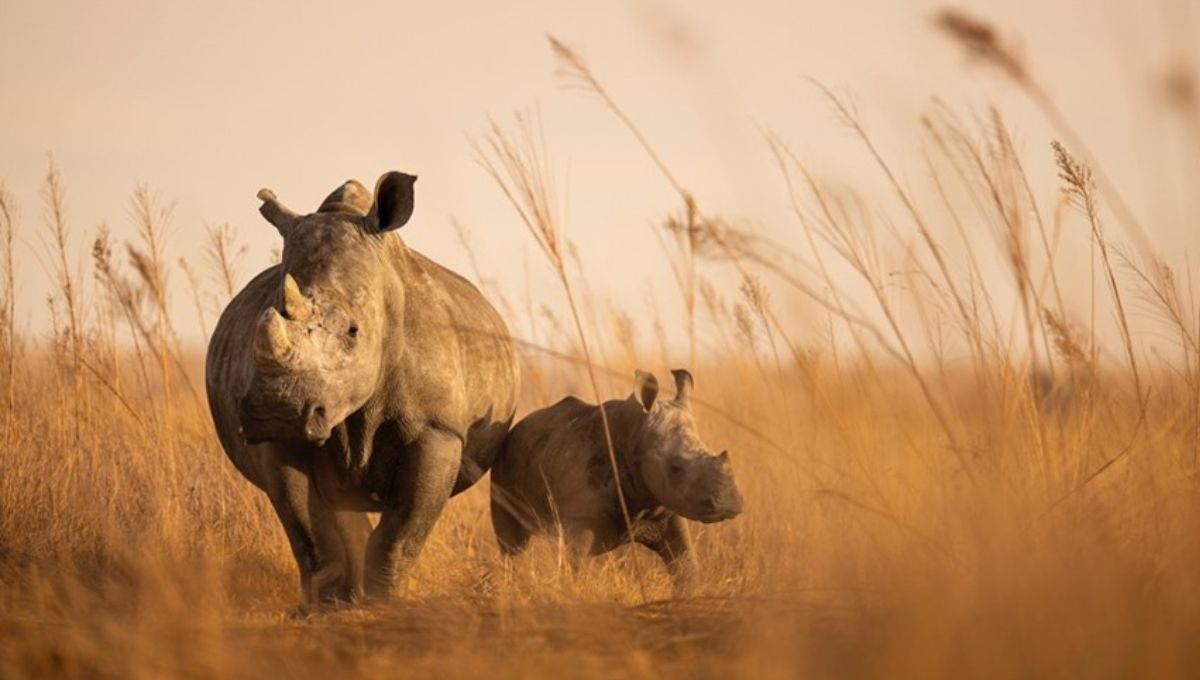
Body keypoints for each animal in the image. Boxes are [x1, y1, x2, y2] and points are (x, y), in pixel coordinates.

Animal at [206, 172, 519, 607]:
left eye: (354, 331)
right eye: (259, 324)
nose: (277, 412)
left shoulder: (438, 430)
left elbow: (402, 532)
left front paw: (382, 601)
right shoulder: (281, 441)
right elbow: (310, 532)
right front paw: (324, 607)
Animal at [489, 369, 743, 588]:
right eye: (675, 468)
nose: (730, 504)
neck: (635, 434)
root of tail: (516, 426)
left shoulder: (667, 511)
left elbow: (686, 566)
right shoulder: (580, 518)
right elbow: (576, 569)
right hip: (501, 464)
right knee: (513, 547)